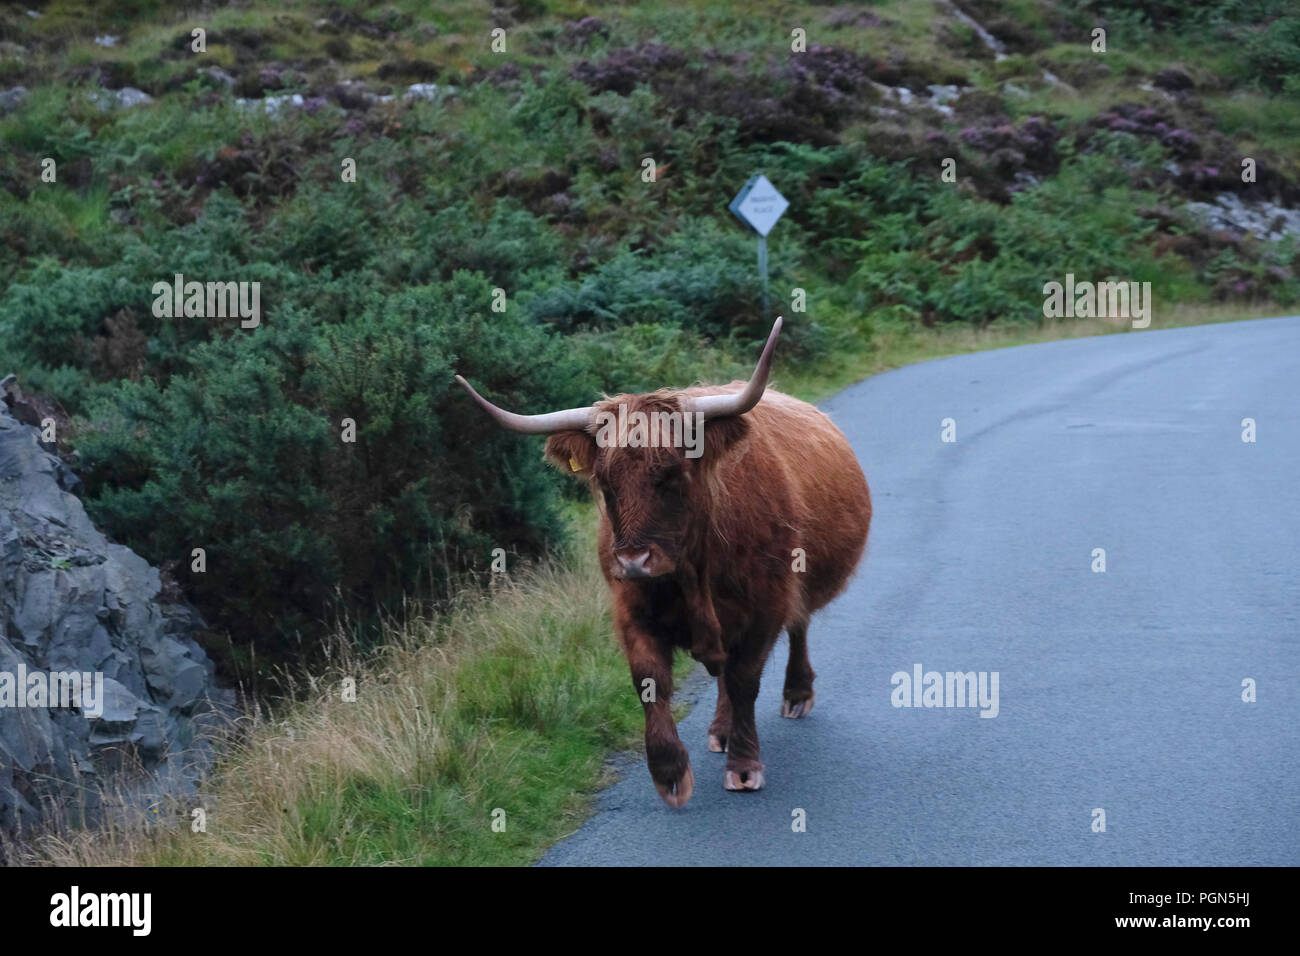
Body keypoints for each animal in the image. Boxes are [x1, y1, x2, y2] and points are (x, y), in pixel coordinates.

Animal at [455, 317, 871, 807]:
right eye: (605, 484)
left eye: (671, 474)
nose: (634, 560)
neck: (695, 569)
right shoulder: (631, 611)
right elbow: (650, 683)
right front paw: (670, 771)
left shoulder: (765, 607)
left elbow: (745, 680)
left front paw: (744, 767)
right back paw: (720, 730)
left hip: (799, 585)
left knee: (798, 626)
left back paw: (796, 694)